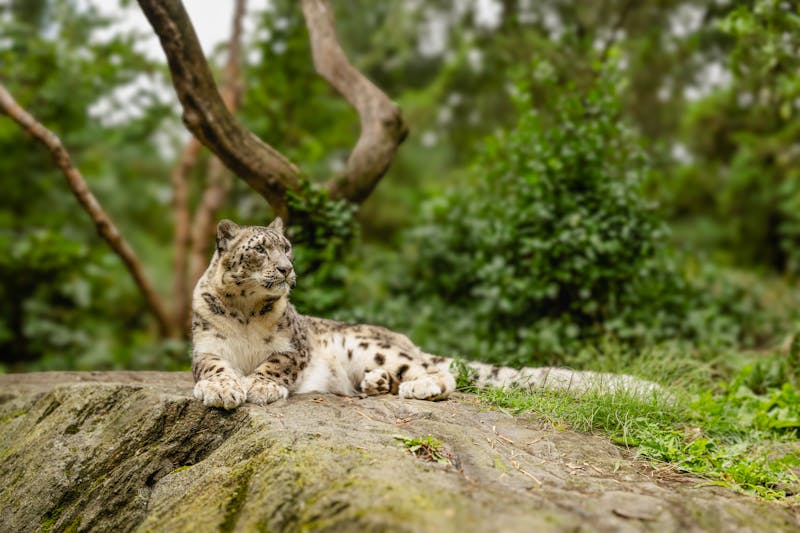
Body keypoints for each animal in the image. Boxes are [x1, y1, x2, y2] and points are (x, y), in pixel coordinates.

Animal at [191, 218, 654, 409]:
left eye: (287, 248)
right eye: (259, 249)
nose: (287, 269)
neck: (246, 313)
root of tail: (403, 338)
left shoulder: (293, 346)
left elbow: (274, 365)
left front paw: (258, 386)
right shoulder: (206, 346)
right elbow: (214, 368)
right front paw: (222, 390)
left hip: (368, 346)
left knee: (438, 373)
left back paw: (417, 387)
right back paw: (376, 384)